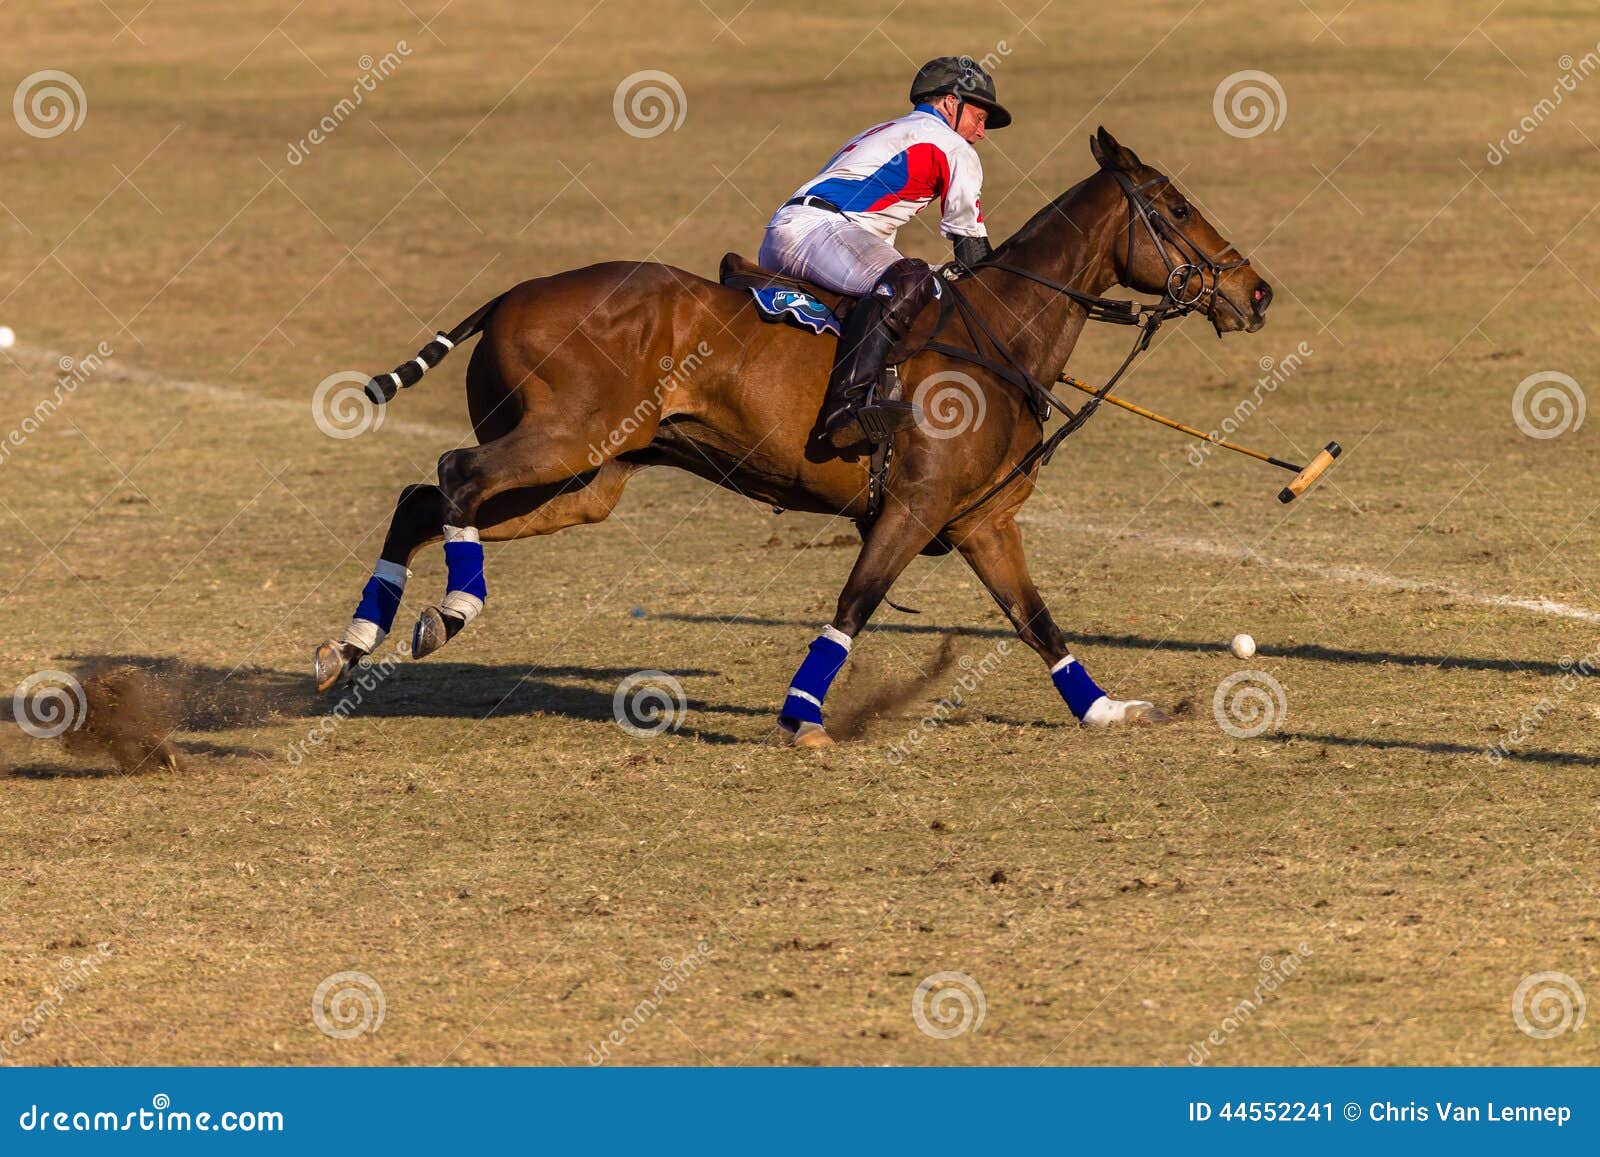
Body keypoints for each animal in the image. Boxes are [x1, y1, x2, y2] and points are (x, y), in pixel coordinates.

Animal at [312, 128, 1272, 745]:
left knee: (425, 497)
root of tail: (510, 293)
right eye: (1175, 207)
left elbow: (1037, 619)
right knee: (455, 473)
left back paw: (350, 645)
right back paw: (451, 610)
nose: (1256, 291)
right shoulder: (916, 506)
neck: (1001, 333)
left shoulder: (979, 520)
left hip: (588, 479)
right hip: (565, 440)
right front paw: (804, 717)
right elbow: (854, 605)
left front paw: (1108, 711)